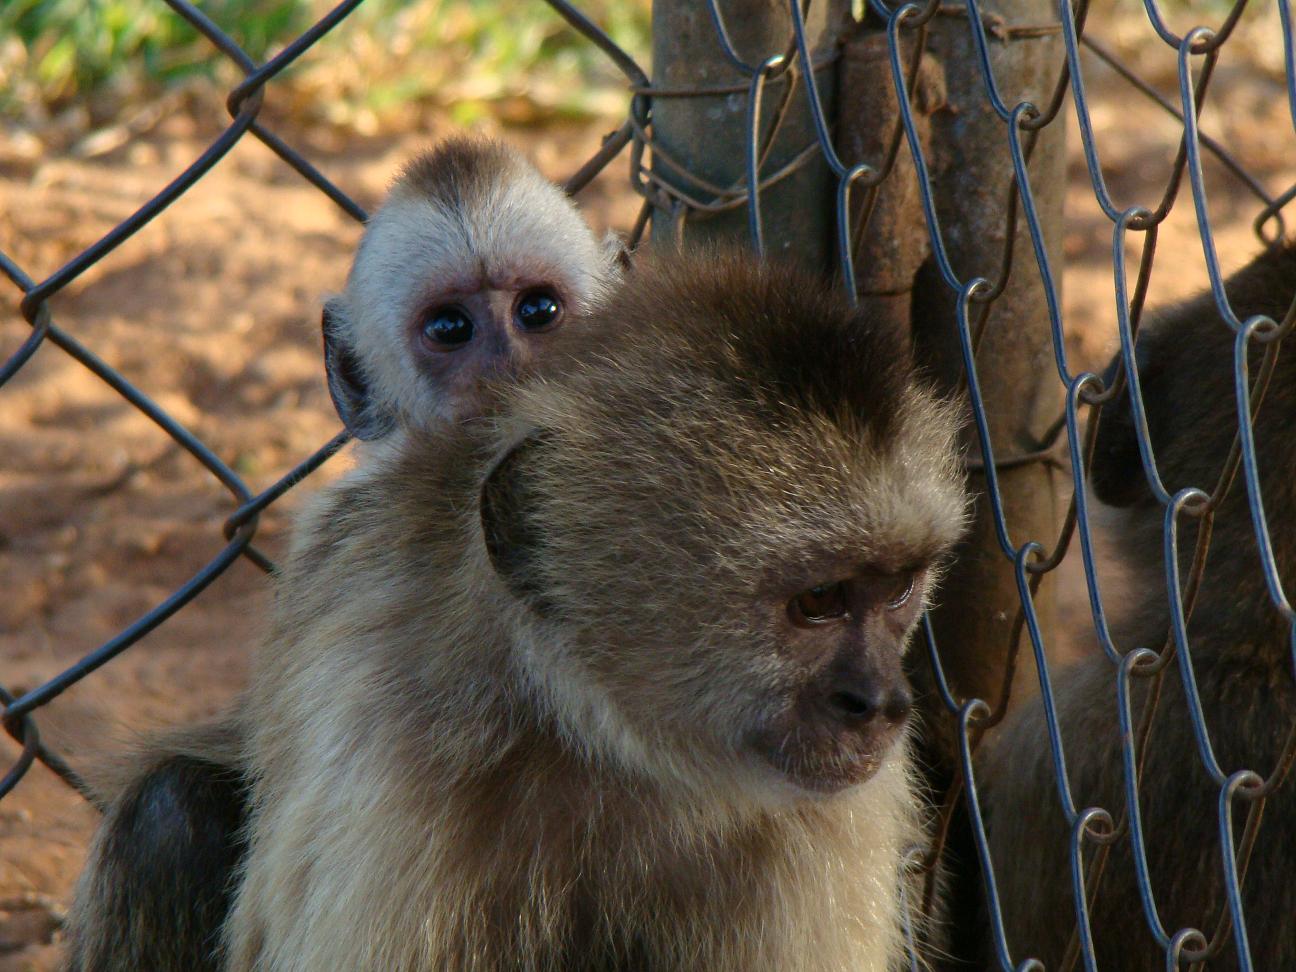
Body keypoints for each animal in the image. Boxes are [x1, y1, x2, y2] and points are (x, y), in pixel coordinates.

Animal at [217, 249, 968, 972]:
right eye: (818, 602)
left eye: (897, 589)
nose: (879, 702)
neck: (606, 739)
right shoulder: (400, 762)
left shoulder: (841, 811)